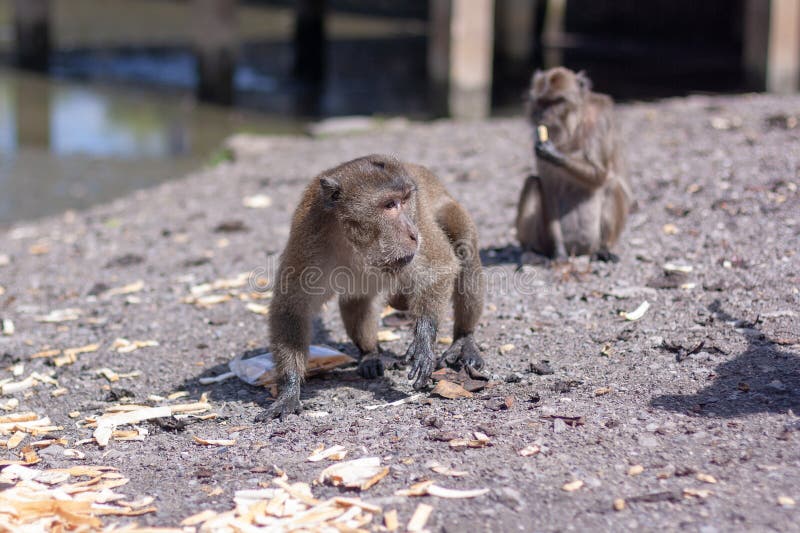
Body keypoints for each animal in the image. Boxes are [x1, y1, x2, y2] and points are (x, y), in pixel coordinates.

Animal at [260, 155, 485, 419]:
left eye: (405, 200)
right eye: (390, 205)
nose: (413, 234)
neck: (355, 242)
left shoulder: (419, 226)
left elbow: (441, 267)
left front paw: (424, 338)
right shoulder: (308, 239)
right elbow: (292, 308)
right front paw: (289, 389)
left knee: (464, 248)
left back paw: (464, 340)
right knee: (357, 299)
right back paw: (370, 354)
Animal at [515, 67, 632, 261]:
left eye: (557, 101)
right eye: (541, 102)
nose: (542, 115)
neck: (572, 127)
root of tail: (578, 252)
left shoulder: (600, 119)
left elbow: (600, 173)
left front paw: (554, 153)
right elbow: (549, 188)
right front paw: (558, 250)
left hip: (592, 242)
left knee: (611, 184)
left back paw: (603, 248)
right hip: (544, 239)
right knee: (532, 183)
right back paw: (533, 251)